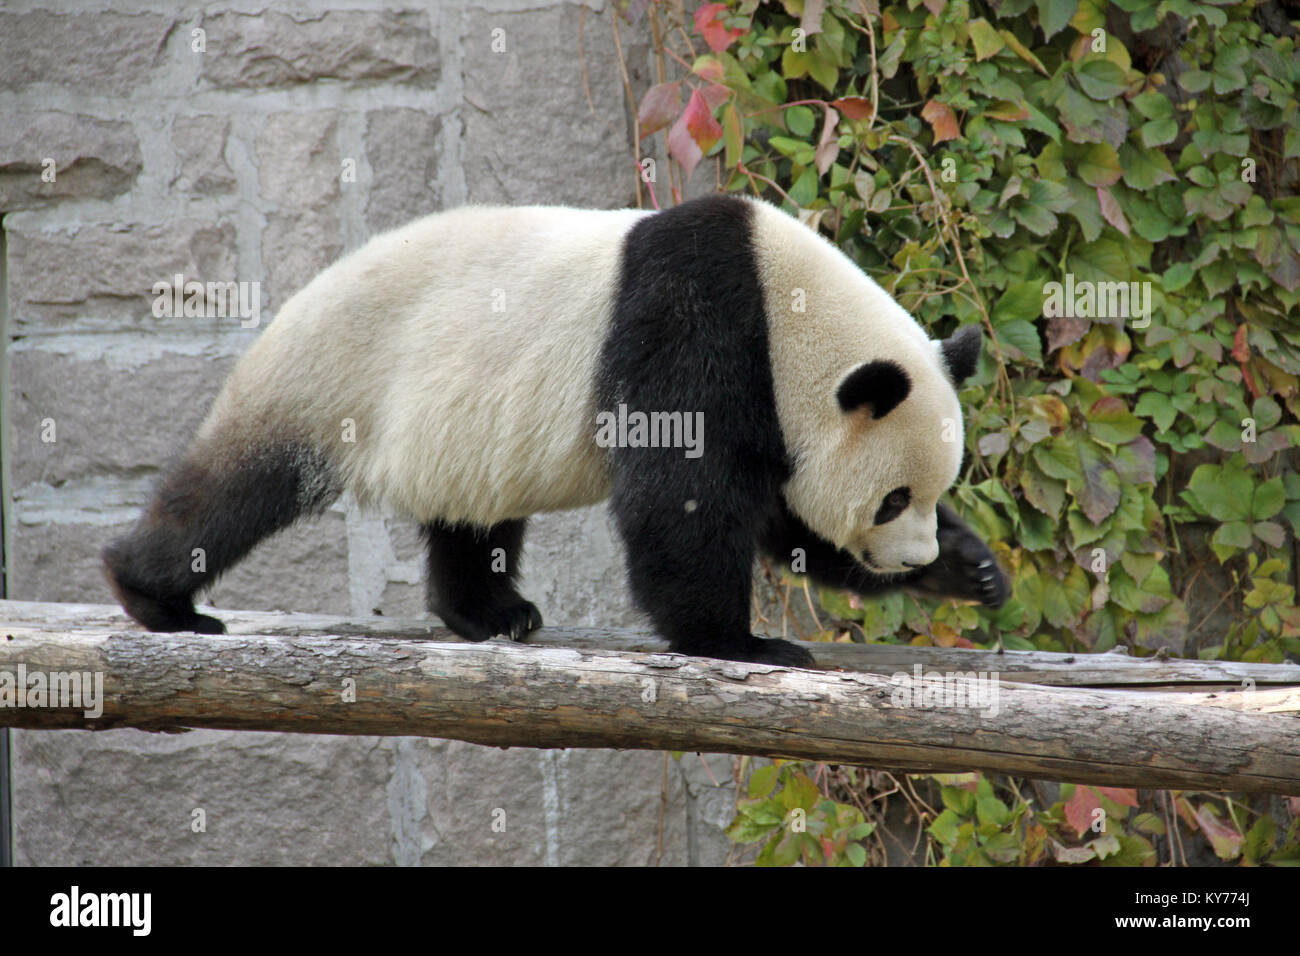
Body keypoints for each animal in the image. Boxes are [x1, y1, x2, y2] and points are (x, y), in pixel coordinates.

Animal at [103, 194, 1009, 667]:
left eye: (931, 493)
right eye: (892, 498)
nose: (912, 556)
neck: (788, 307)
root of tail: (301, 294)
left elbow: (784, 517)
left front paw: (972, 571)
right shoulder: (696, 325)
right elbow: (684, 500)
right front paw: (740, 642)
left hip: (458, 422)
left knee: (473, 520)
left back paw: (491, 614)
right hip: (336, 375)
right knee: (237, 489)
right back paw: (154, 596)